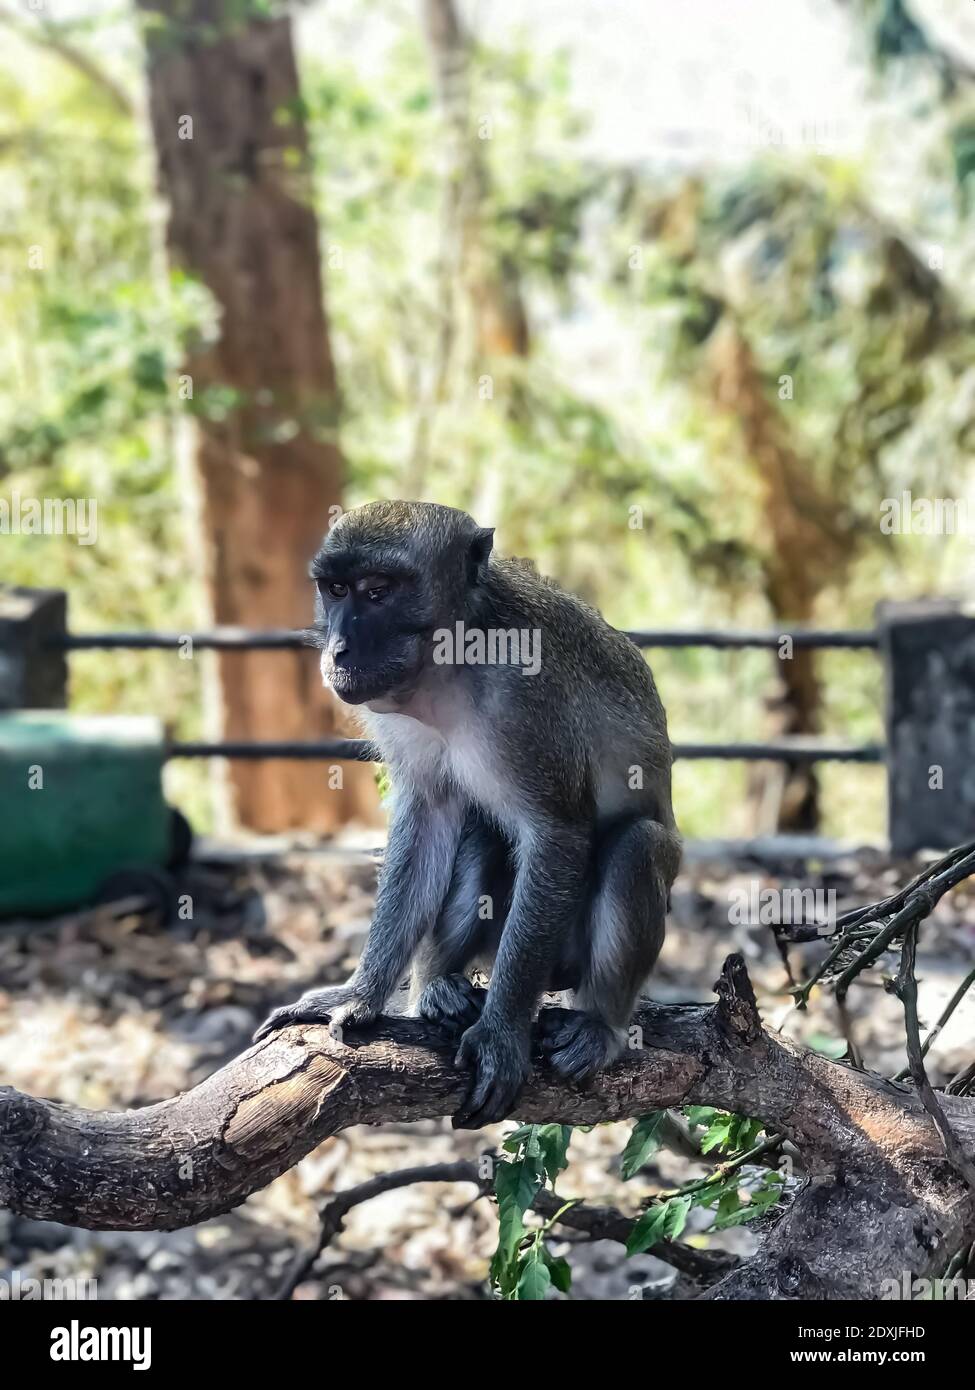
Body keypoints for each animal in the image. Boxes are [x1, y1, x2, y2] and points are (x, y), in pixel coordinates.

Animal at [254, 500, 681, 1129]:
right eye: (335, 590)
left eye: (378, 591)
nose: (339, 650)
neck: (450, 665)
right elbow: (429, 818)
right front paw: (360, 994)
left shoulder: (525, 698)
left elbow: (558, 834)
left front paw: (501, 1035)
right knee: (479, 833)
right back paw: (434, 988)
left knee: (639, 846)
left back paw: (601, 1026)